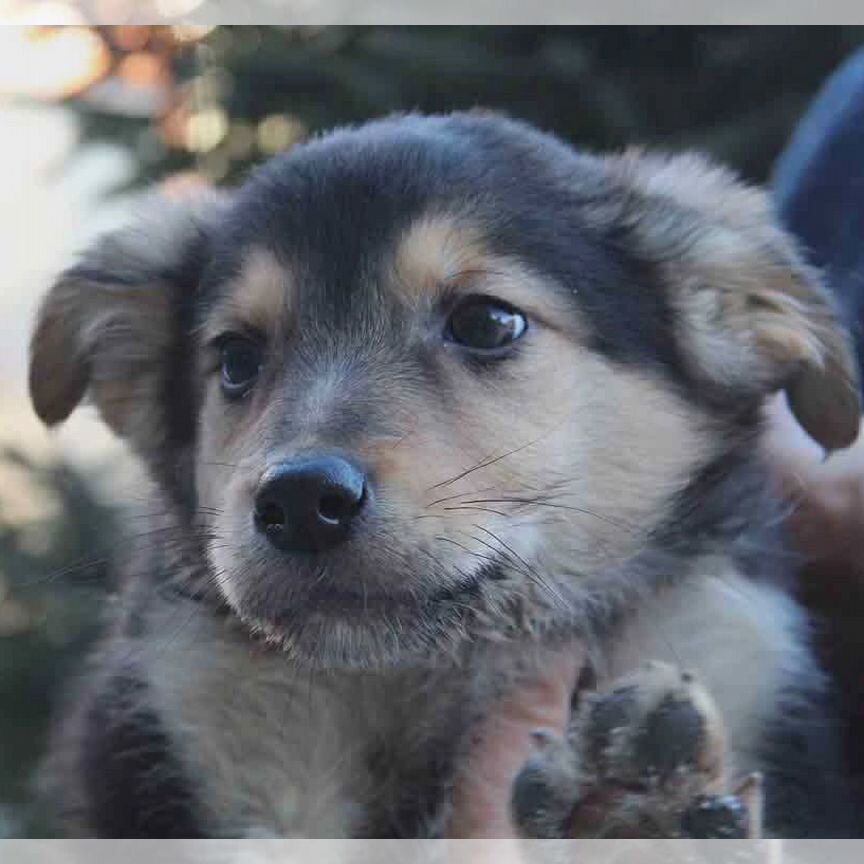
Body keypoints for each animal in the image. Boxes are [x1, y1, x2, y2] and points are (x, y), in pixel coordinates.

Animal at [30, 111, 860, 832]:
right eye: (236, 360)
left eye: (487, 322)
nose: (299, 501)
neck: (431, 676)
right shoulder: (199, 708)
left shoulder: (724, 636)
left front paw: (639, 814)